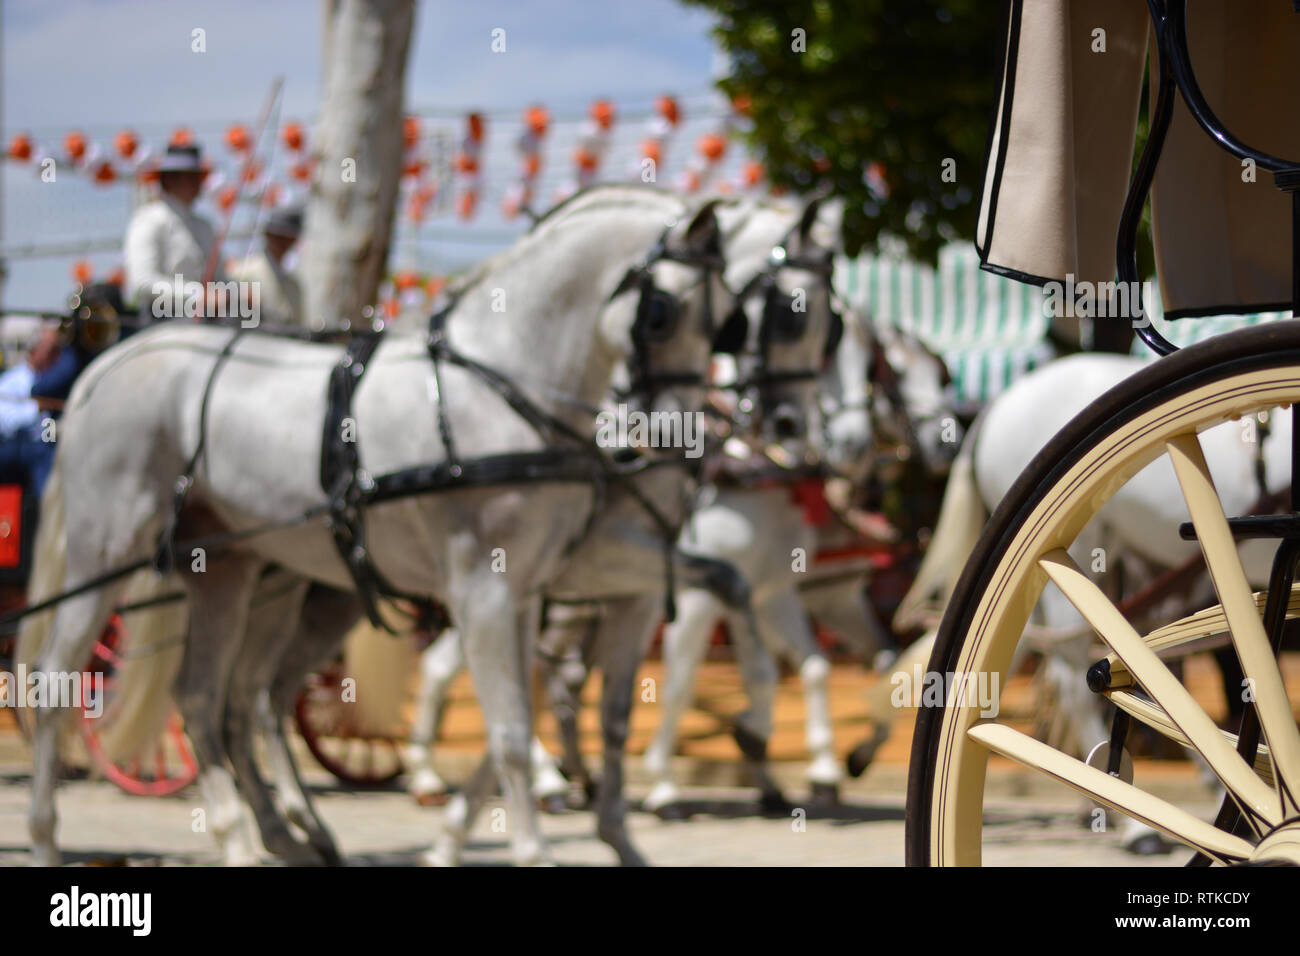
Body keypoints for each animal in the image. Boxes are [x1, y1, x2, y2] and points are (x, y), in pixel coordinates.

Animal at [21, 185, 735, 867]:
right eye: (662, 312)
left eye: (728, 319)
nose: (678, 436)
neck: (498, 388)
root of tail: (104, 367)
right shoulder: (484, 590)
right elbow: (508, 731)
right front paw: (531, 851)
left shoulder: (530, 587)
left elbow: (527, 716)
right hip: (105, 553)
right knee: (61, 684)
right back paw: (48, 839)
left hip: (232, 570)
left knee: (209, 697)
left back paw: (258, 836)